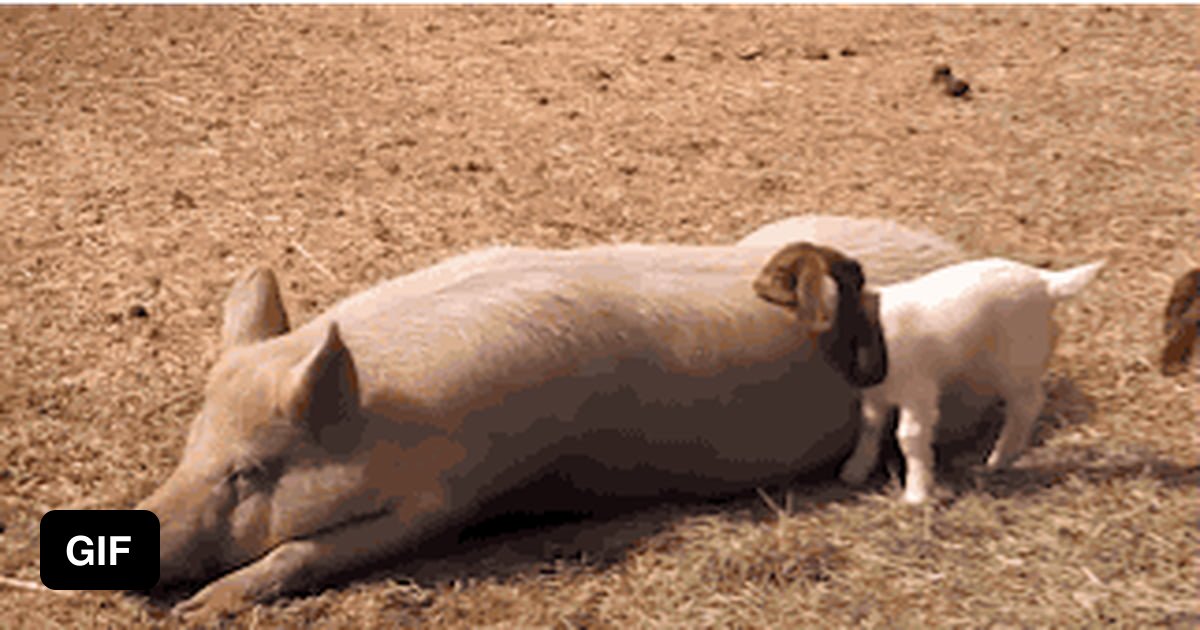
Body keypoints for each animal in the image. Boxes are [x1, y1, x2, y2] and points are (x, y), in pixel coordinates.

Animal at [136, 215, 967, 623]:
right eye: (189, 446)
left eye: (249, 472)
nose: (150, 531)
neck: (390, 418)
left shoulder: (450, 494)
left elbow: (307, 551)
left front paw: (200, 610)